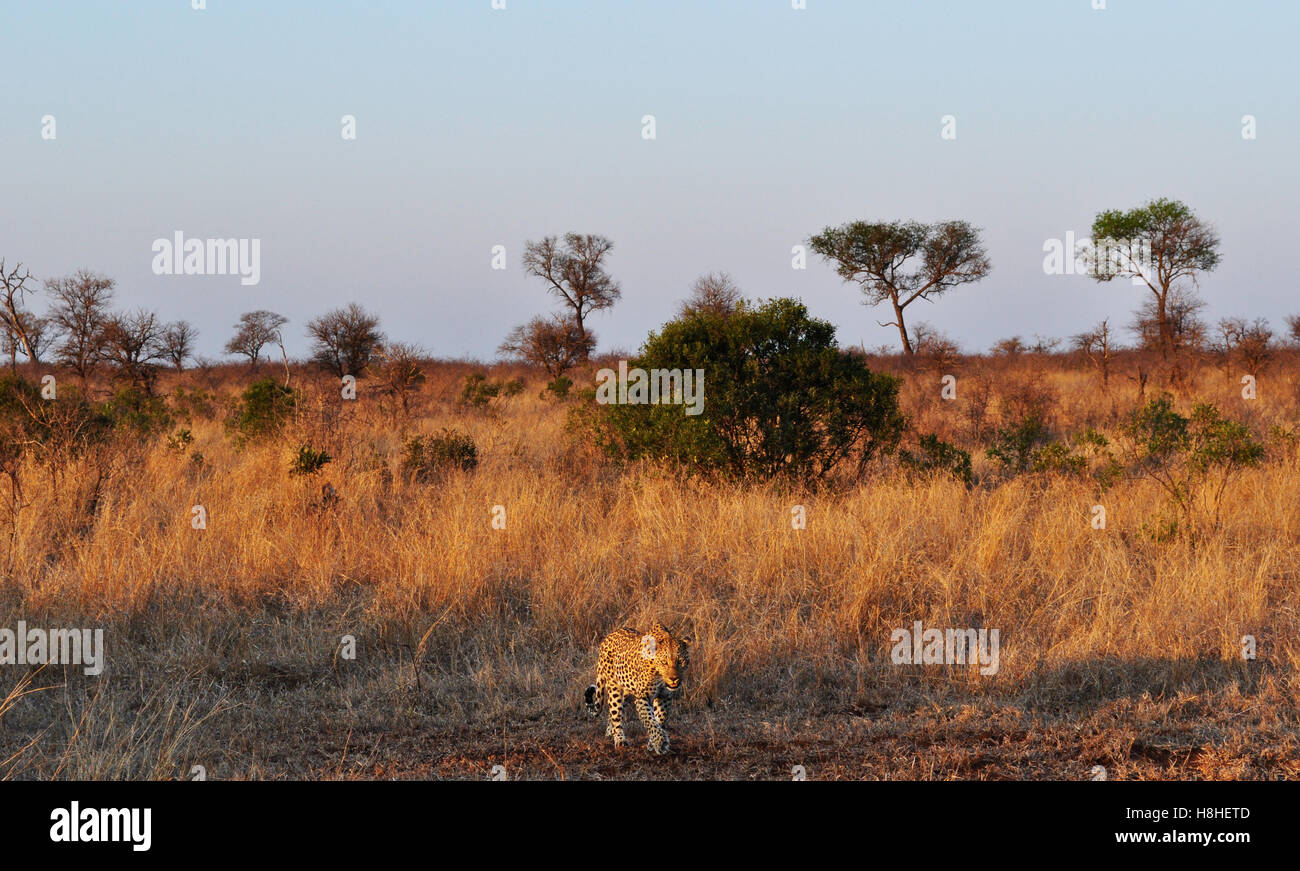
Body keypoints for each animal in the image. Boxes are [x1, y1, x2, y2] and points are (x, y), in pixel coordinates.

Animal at [584, 620, 691, 755]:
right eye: (664, 662)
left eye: (681, 662)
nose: (673, 679)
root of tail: (606, 638)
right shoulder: (642, 697)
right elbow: (649, 720)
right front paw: (661, 742)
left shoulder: (664, 698)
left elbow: (659, 719)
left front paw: (653, 744)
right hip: (614, 688)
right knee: (615, 713)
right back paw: (619, 739)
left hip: (626, 692)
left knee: (612, 714)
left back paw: (609, 733)